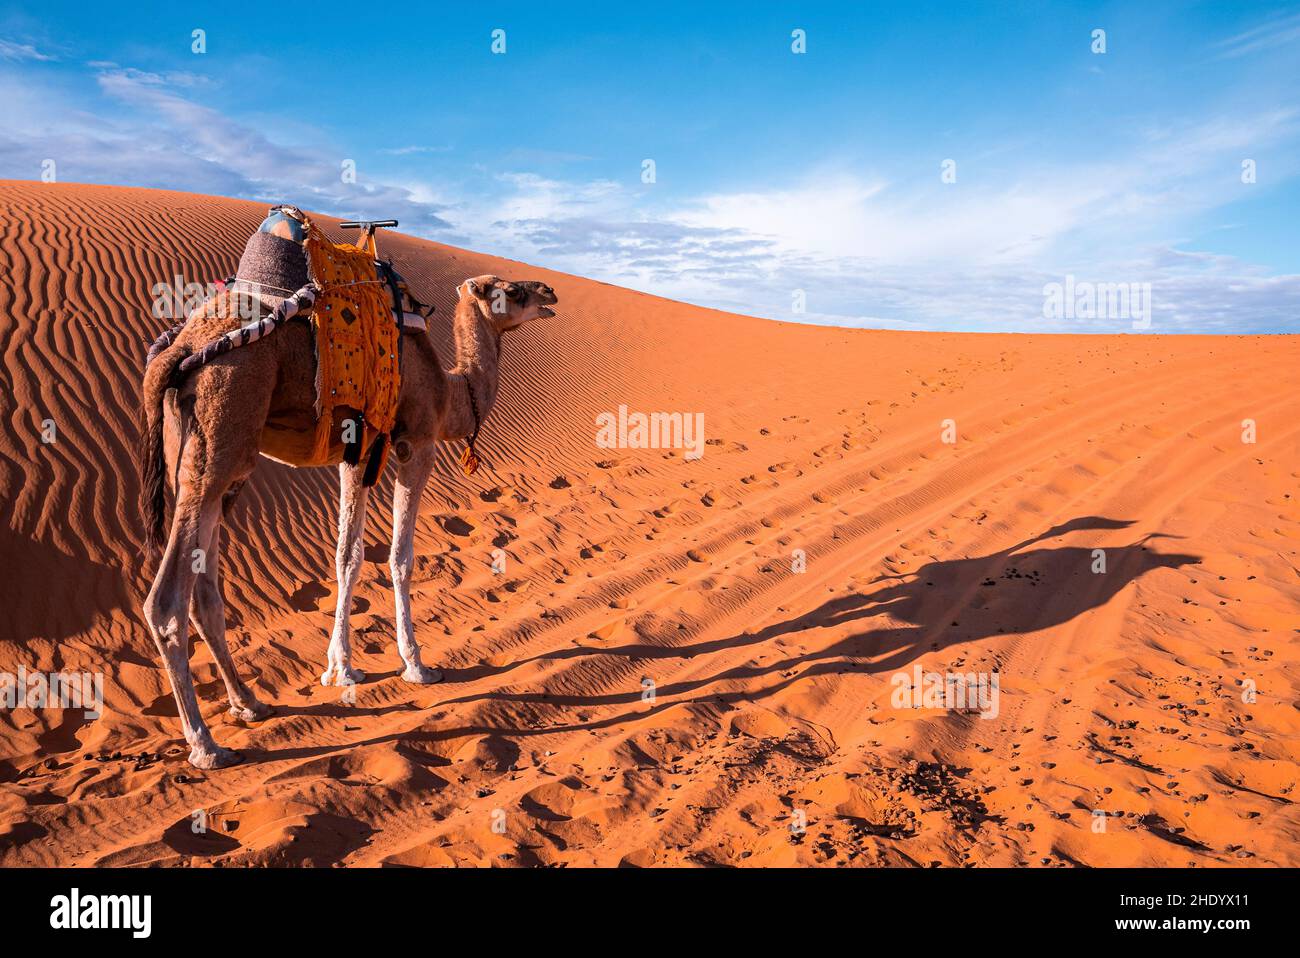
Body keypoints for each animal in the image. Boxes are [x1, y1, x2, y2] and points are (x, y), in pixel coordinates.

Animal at [138, 259, 557, 770]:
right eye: (512, 291)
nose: (550, 291)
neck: (448, 391)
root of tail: (180, 347)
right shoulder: (417, 443)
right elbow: (399, 557)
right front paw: (416, 665)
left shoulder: (353, 457)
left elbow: (347, 557)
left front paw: (341, 668)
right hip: (221, 431)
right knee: (165, 602)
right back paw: (205, 744)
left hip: (201, 459)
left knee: (204, 593)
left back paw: (249, 703)